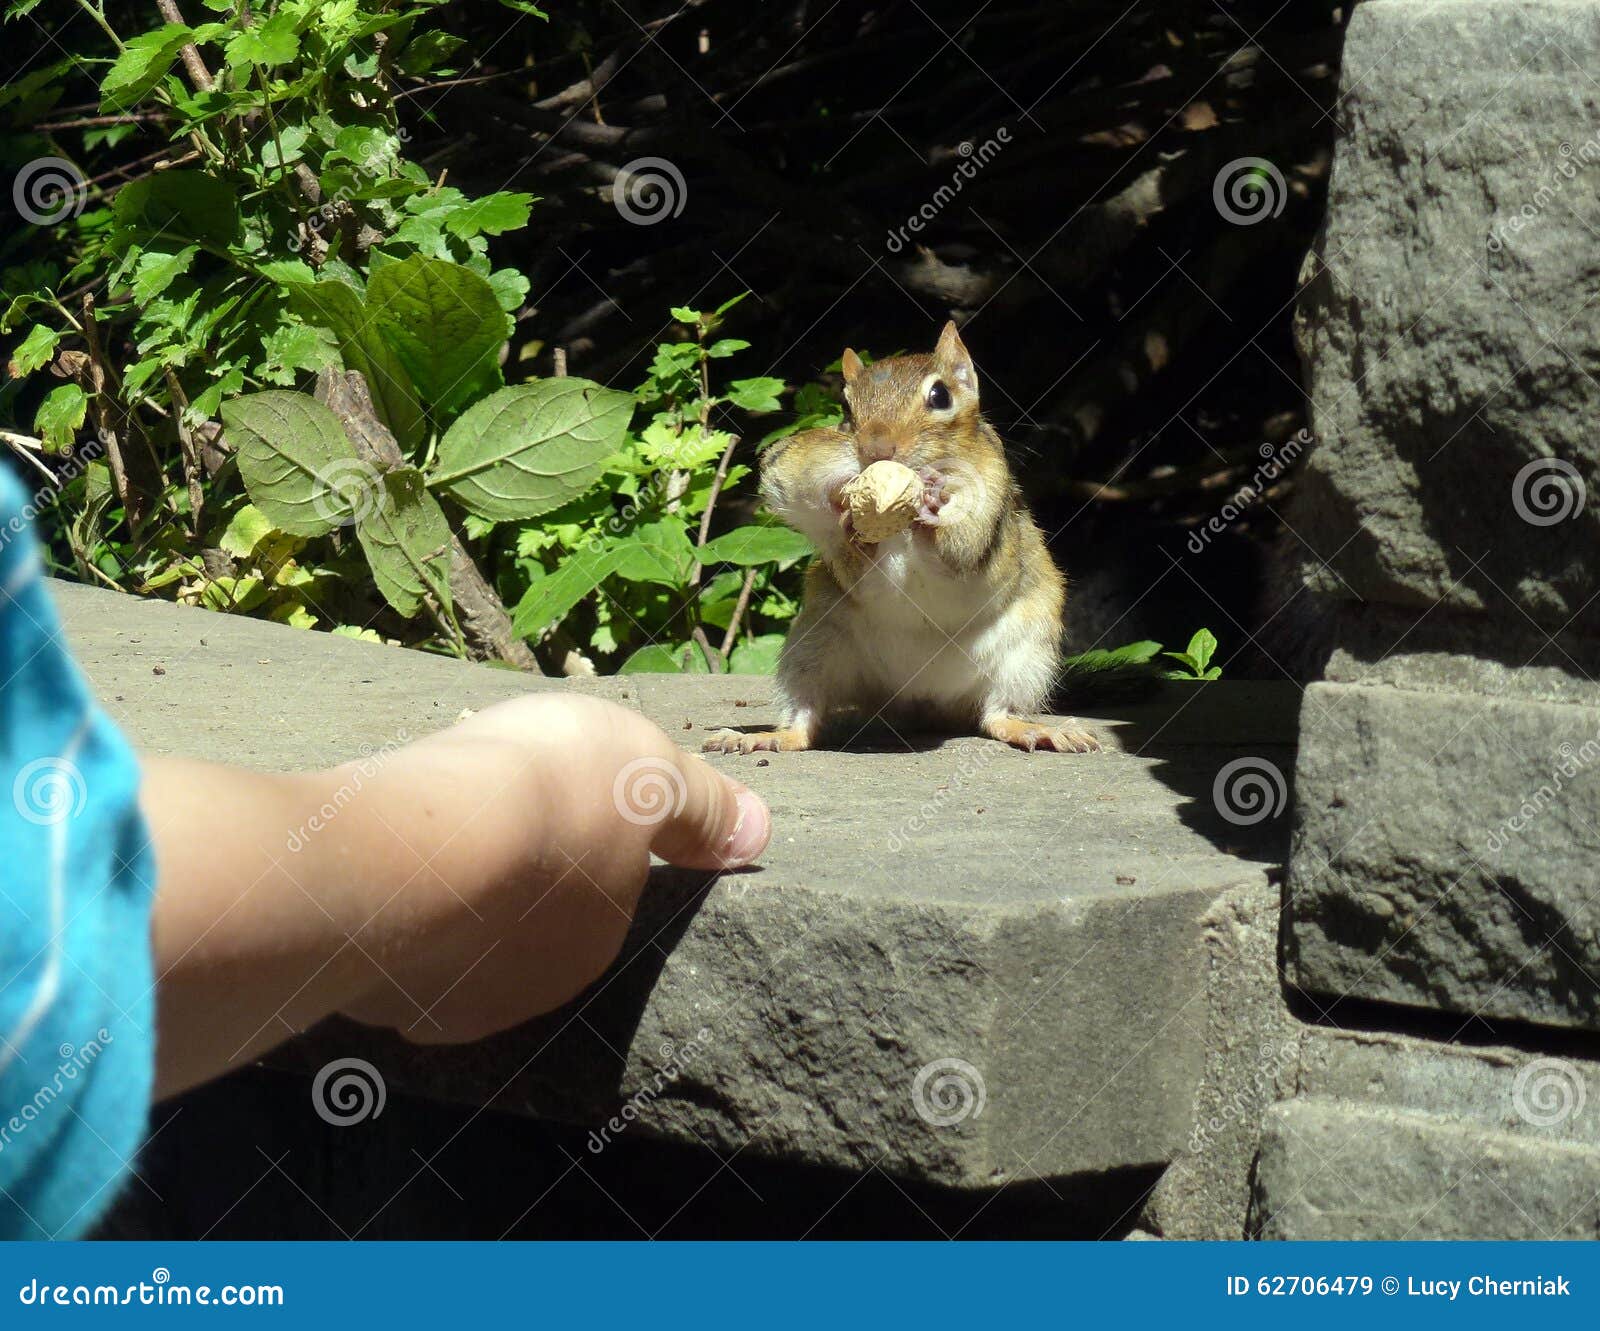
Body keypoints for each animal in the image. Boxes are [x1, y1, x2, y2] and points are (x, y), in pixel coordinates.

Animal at [704, 321, 1100, 756]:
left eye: (940, 395)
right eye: (845, 407)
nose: (875, 450)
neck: (903, 530)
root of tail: (924, 703)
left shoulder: (992, 503)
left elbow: (964, 554)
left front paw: (934, 502)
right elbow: (857, 569)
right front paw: (848, 514)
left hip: (1025, 655)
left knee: (997, 714)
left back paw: (1035, 729)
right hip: (810, 649)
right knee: (806, 718)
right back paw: (767, 736)